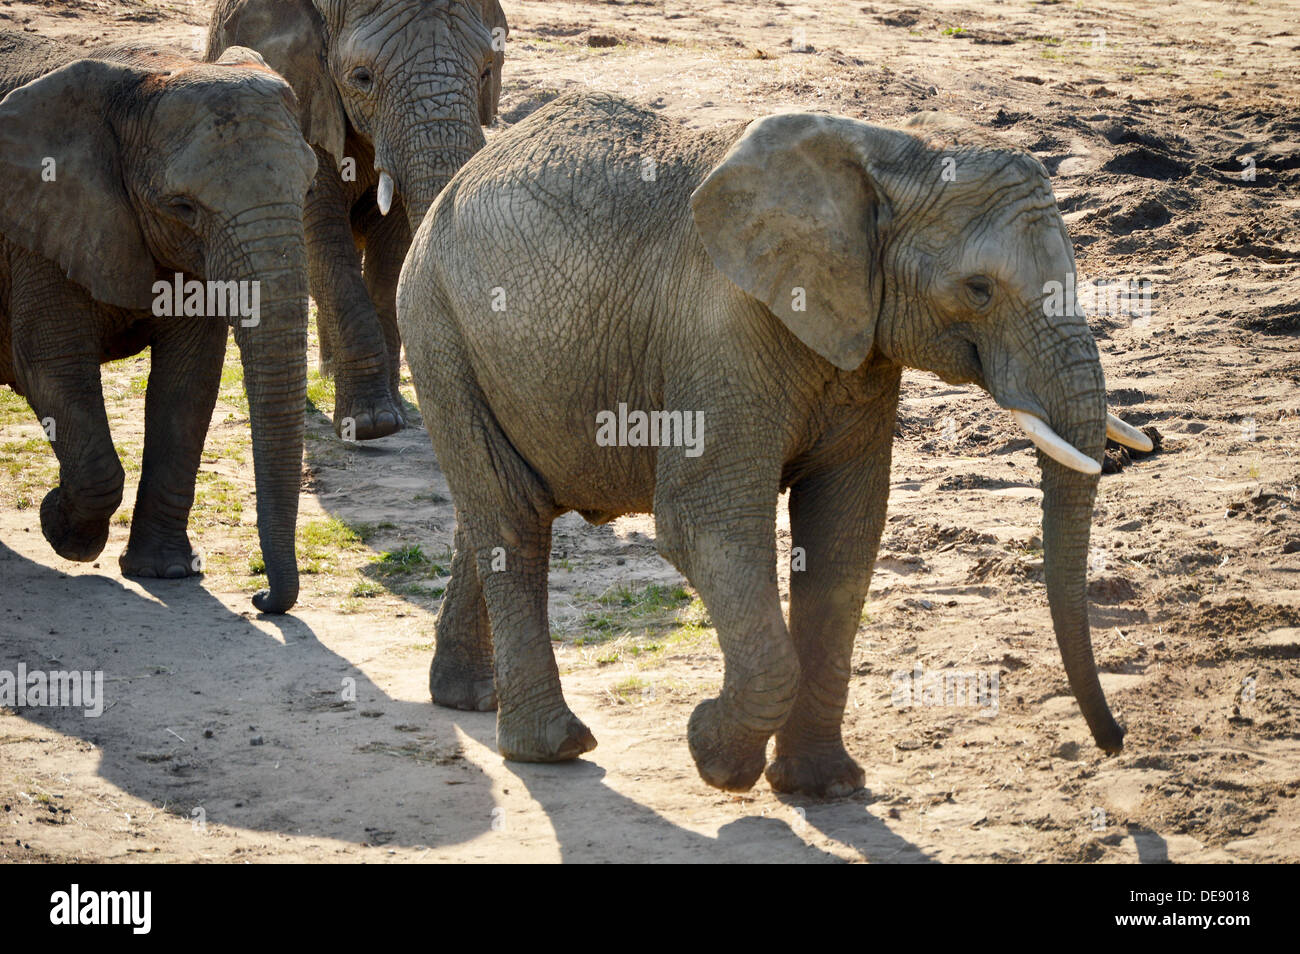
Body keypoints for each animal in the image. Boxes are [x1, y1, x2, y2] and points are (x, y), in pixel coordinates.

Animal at [0, 32, 318, 614]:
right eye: (183, 207)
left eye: (308, 189)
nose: (261, 595)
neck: (148, 70)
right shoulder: (35, 227)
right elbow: (50, 366)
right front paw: (61, 530)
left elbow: (189, 383)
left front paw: (165, 571)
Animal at [207, 0, 508, 441]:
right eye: (362, 78)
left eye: (486, 71)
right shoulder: (305, 96)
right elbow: (320, 234)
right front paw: (369, 424)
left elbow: (390, 256)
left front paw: (390, 412)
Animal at [395, 91, 1154, 795]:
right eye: (978, 289)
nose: (1115, 742)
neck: (890, 156)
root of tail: (457, 181)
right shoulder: (719, 334)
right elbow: (707, 524)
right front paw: (714, 754)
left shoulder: (862, 342)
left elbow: (844, 532)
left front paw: (824, 786)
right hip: (437, 326)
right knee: (514, 518)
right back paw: (552, 747)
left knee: (492, 510)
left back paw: (469, 699)